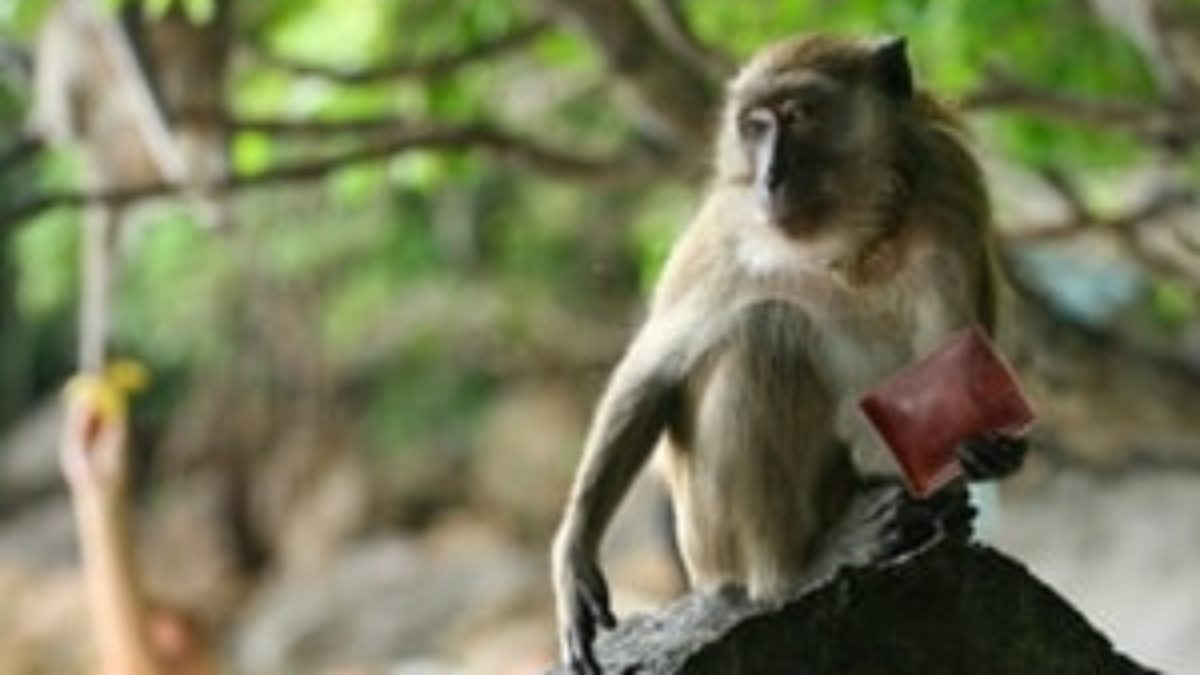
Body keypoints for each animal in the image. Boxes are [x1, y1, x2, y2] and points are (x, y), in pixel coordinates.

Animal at [551, 35, 1027, 673]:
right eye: (755, 126)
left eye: (799, 115)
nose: (770, 176)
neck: (852, 239)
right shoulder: (727, 227)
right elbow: (652, 371)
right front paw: (574, 558)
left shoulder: (946, 194)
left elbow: (948, 360)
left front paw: (985, 447)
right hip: (708, 543)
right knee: (764, 328)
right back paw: (800, 569)